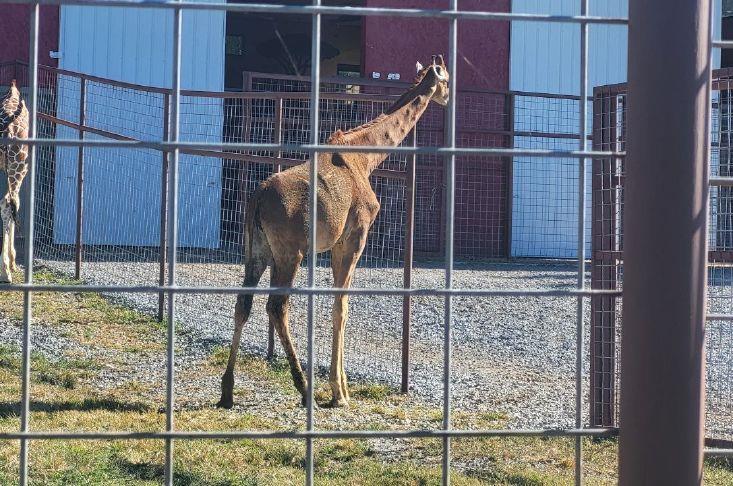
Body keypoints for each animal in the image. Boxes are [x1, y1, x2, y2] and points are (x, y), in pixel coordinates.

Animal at [217, 55, 450, 409]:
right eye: (446, 79)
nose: (447, 98)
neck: (366, 158)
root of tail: (256, 200)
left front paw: (339, 387)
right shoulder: (353, 237)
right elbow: (342, 307)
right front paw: (340, 392)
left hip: (256, 249)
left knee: (244, 303)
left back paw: (227, 391)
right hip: (290, 252)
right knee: (277, 307)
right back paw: (304, 389)